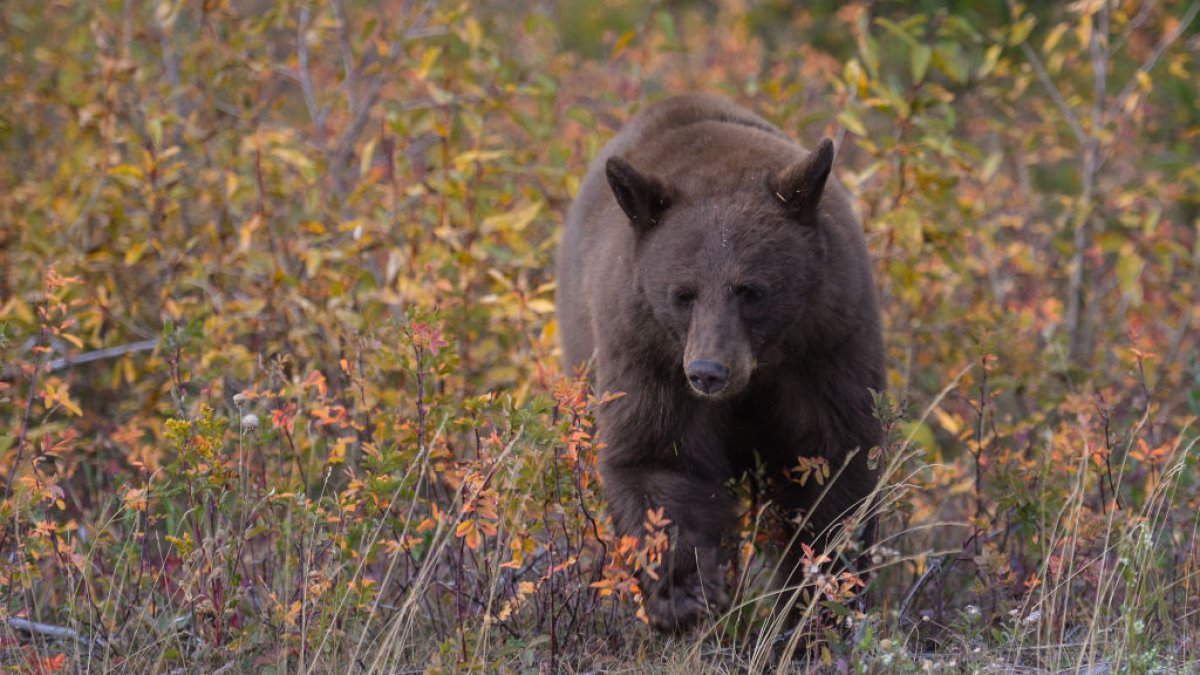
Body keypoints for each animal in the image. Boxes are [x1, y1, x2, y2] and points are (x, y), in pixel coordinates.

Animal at [555, 93, 885, 632]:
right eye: (682, 294)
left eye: (750, 290)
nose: (708, 372)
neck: (758, 371)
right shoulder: (647, 351)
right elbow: (659, 457)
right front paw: (684, 595)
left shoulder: (828, 343)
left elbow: (833, 463)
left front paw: (821, 601)